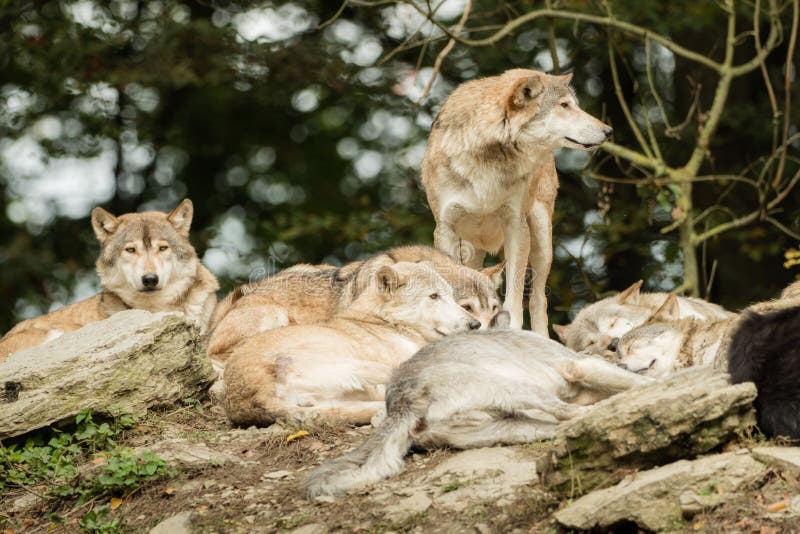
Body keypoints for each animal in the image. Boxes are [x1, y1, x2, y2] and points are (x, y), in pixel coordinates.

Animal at [222, 261, 480, 427]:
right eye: (434, 296)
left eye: (452, 297)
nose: (475, 324)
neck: (386, 322)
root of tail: (245, 398)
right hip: (366, 367)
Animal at [304, 325, 652, 497]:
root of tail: (400, 405)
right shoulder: (581, 367)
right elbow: (631, 380)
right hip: (519, 389)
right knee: (571, 414)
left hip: (514, 426)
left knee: (563, 424)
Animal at [422, 68, 612, 333]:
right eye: (565, 105)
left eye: (576, 105)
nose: (609, 131)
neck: (489, 160)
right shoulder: (445, 229)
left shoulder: (516, 225)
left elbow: (513, 299)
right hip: (471, 248)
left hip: (541, 241)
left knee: (538, 301)